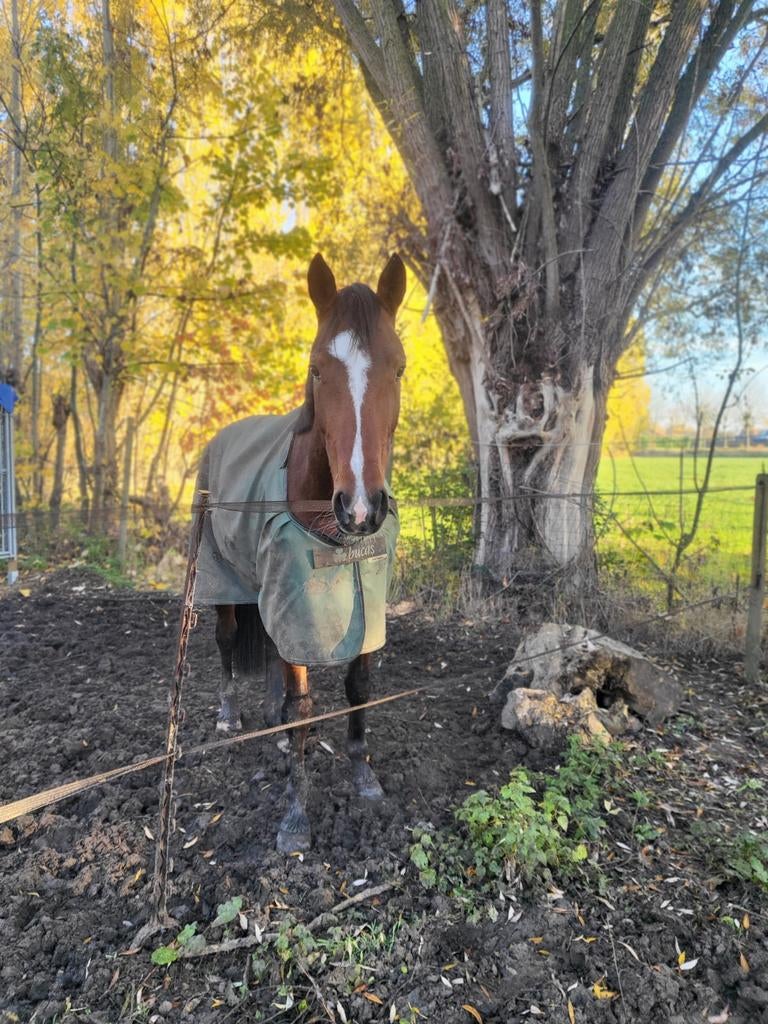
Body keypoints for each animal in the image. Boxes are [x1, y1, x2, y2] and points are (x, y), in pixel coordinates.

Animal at [195, 253, 407, 853]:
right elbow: (304, 707)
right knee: (226, 642)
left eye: (398, 369)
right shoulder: (294, 603)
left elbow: (359, 688)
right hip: (222, 580)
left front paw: (364, 778)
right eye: (316, 369)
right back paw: (229, 716)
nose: (360, 508)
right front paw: (295, 816)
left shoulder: (367, 607)